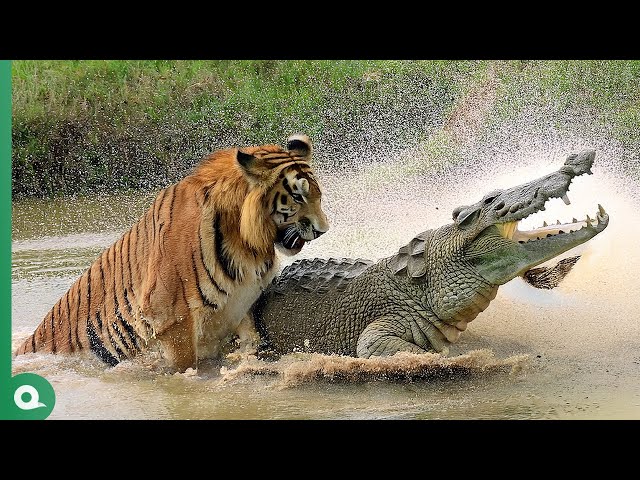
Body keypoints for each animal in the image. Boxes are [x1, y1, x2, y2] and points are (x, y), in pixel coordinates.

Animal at [14, 134, 329, 372]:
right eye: (297, 196)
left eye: (318, 194)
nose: (323, 230)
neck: (247, 242)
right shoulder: (171, 318)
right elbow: (186, 366)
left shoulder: (242, 306)